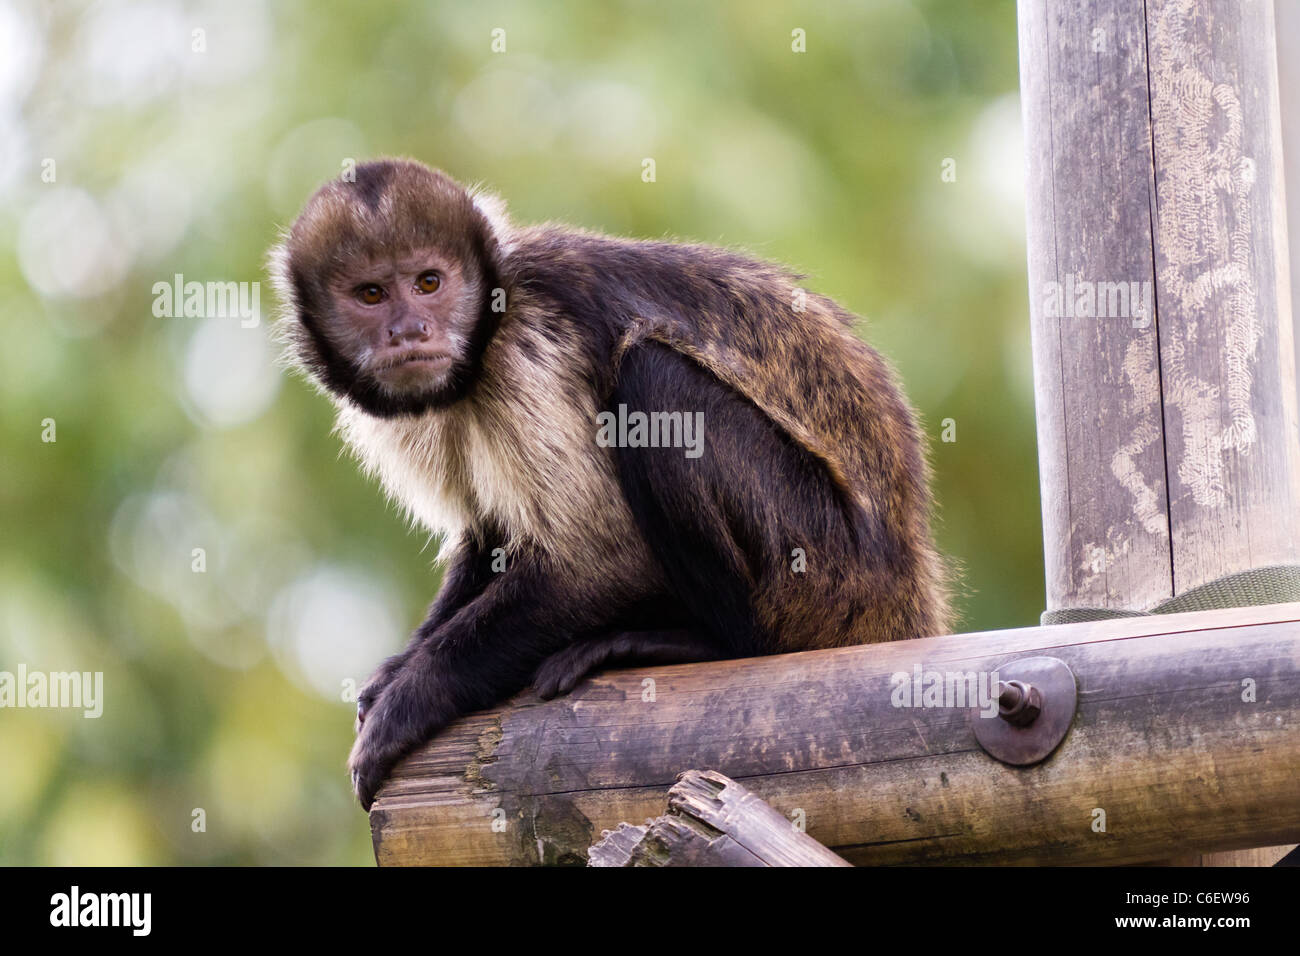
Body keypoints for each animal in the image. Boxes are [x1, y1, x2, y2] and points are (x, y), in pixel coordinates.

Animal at [269, 158, 952, 810]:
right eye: (372, 294)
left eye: (429, 283)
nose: (409, 331)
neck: (487, 335)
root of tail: (908, 591)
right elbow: (491, 534)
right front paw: (397, 670)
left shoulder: (531, 351)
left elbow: (601, 562)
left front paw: (411, 699)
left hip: (828, 579)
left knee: (655, 380)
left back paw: (708, 644)